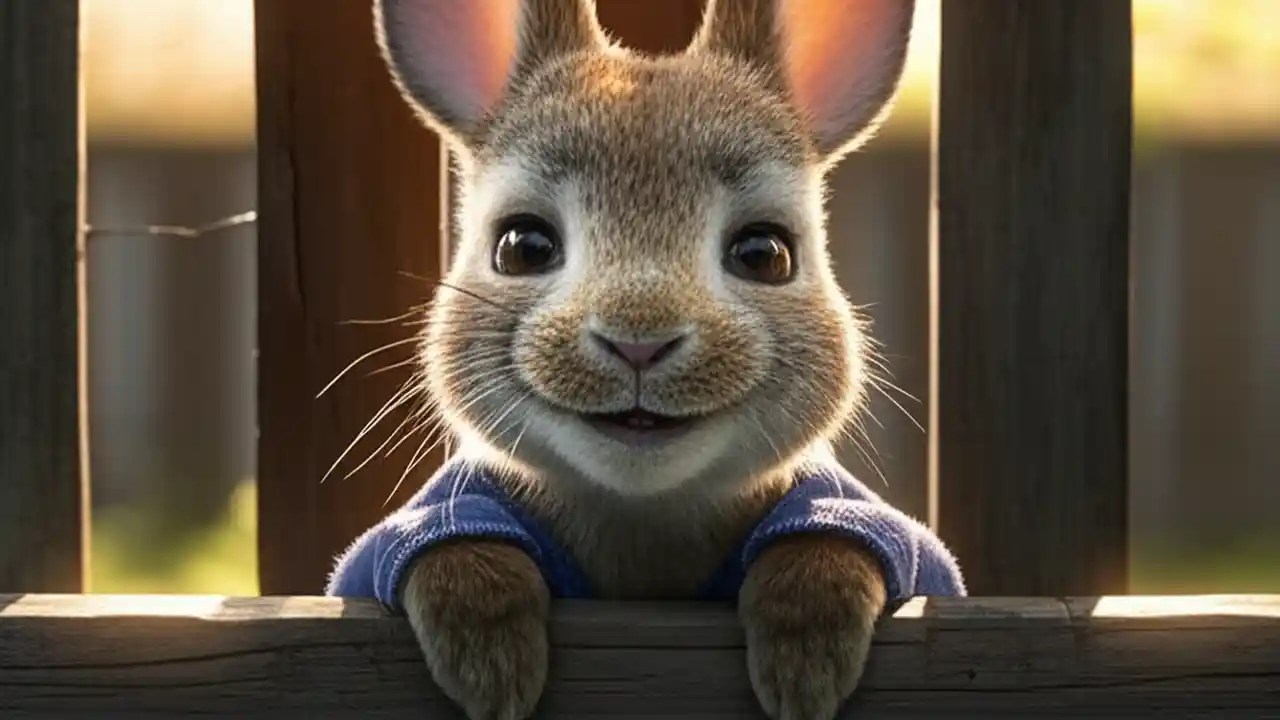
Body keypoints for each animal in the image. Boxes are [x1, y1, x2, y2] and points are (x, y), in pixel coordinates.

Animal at [326, 1, 966, 719]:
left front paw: (807, 668)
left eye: (765, 253)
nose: (639, 341)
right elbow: (453, 545)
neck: (641, 517)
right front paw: (489, 668)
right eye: (522, 246)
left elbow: (831, 539)